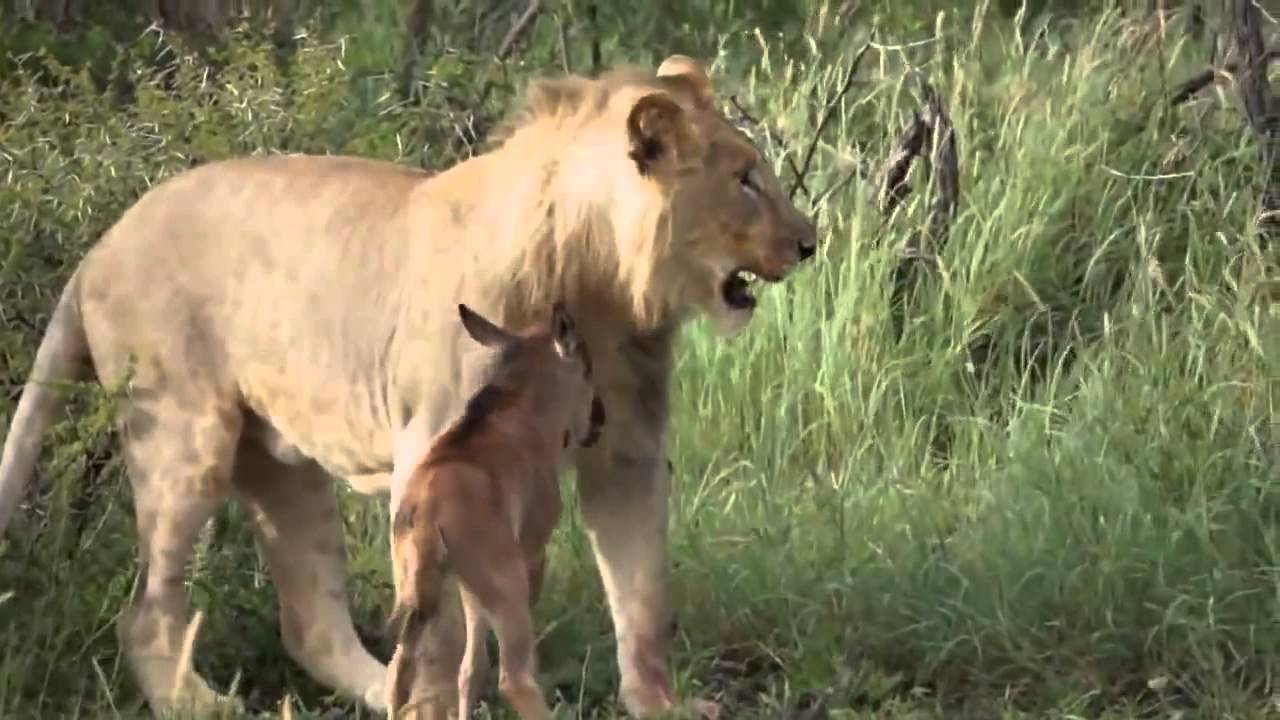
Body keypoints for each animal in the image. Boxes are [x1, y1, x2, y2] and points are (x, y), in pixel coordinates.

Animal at [0, 54, 817, 718]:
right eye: (746, 179)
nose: (810, 242)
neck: (601, 283)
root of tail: (100, 243)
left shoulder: (627, 447)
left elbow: (642, 593)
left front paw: (659, 705)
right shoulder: (433, 448)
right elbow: (446, 616)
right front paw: (441, 701)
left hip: (283, 465)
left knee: (312, 621)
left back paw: (373, 692)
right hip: (180, 436)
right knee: (147, 612)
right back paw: (201, 706)